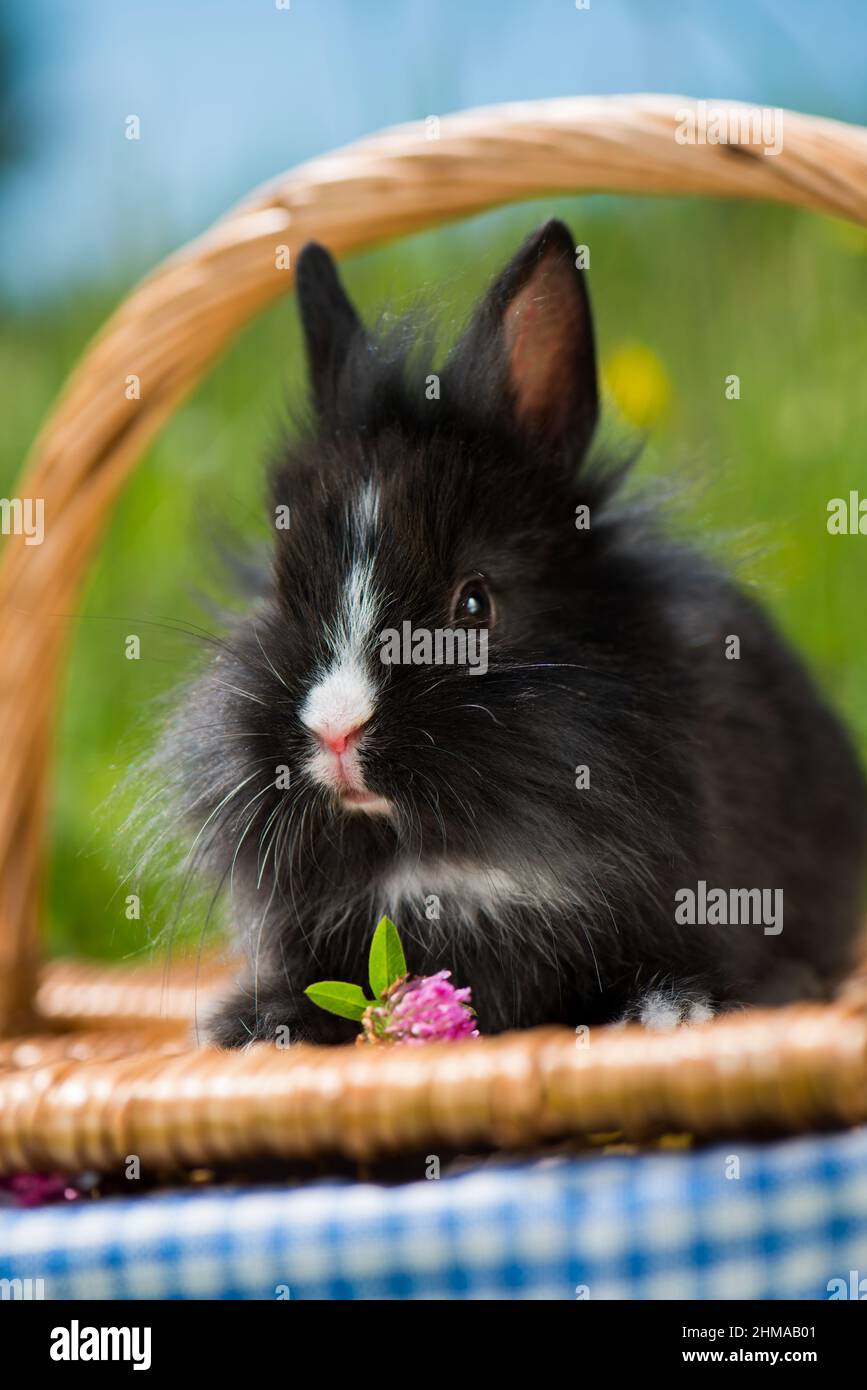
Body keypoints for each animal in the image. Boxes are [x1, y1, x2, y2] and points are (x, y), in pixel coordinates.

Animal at [159, 218, 867, 1046]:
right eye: (282, 591)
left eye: (475, 606)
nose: (334, 732)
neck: (436, 849)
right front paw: (252, 1025)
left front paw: (666, 1007)